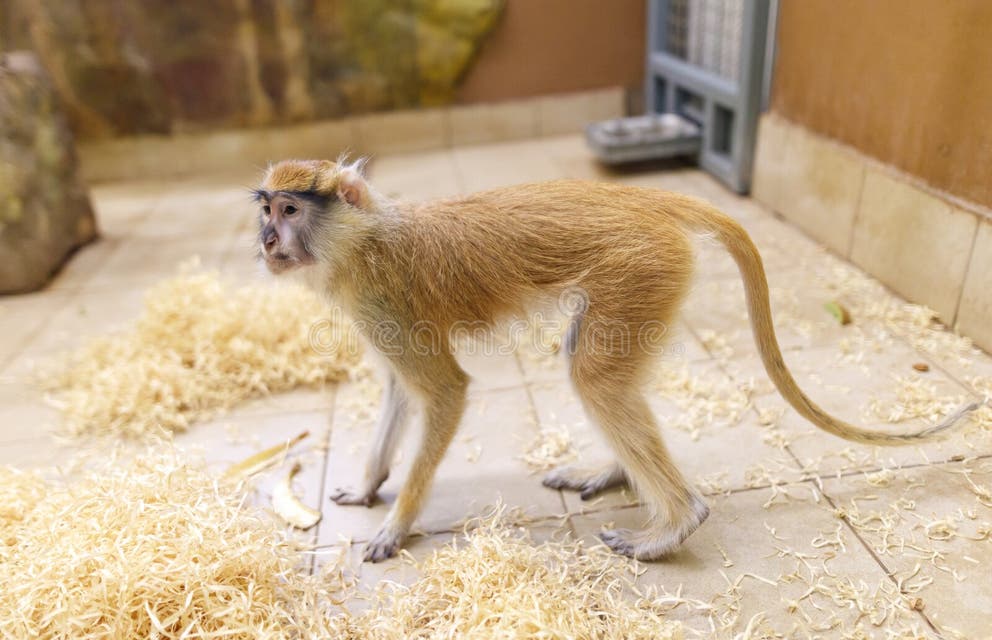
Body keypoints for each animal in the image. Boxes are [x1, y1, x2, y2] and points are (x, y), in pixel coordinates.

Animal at [253, 158, 983, 563]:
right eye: (267, 210)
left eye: (290, 209)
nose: (265, 240)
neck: (364, 234)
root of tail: (642, 198)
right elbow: (401, 393)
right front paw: (368, 486)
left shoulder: (383, 297)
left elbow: (445, 390)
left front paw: (397, 524)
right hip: (650, 277)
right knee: (601, 366)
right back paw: (617, 473)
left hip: (640, 266)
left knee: (593, 373)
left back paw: (675, 522)